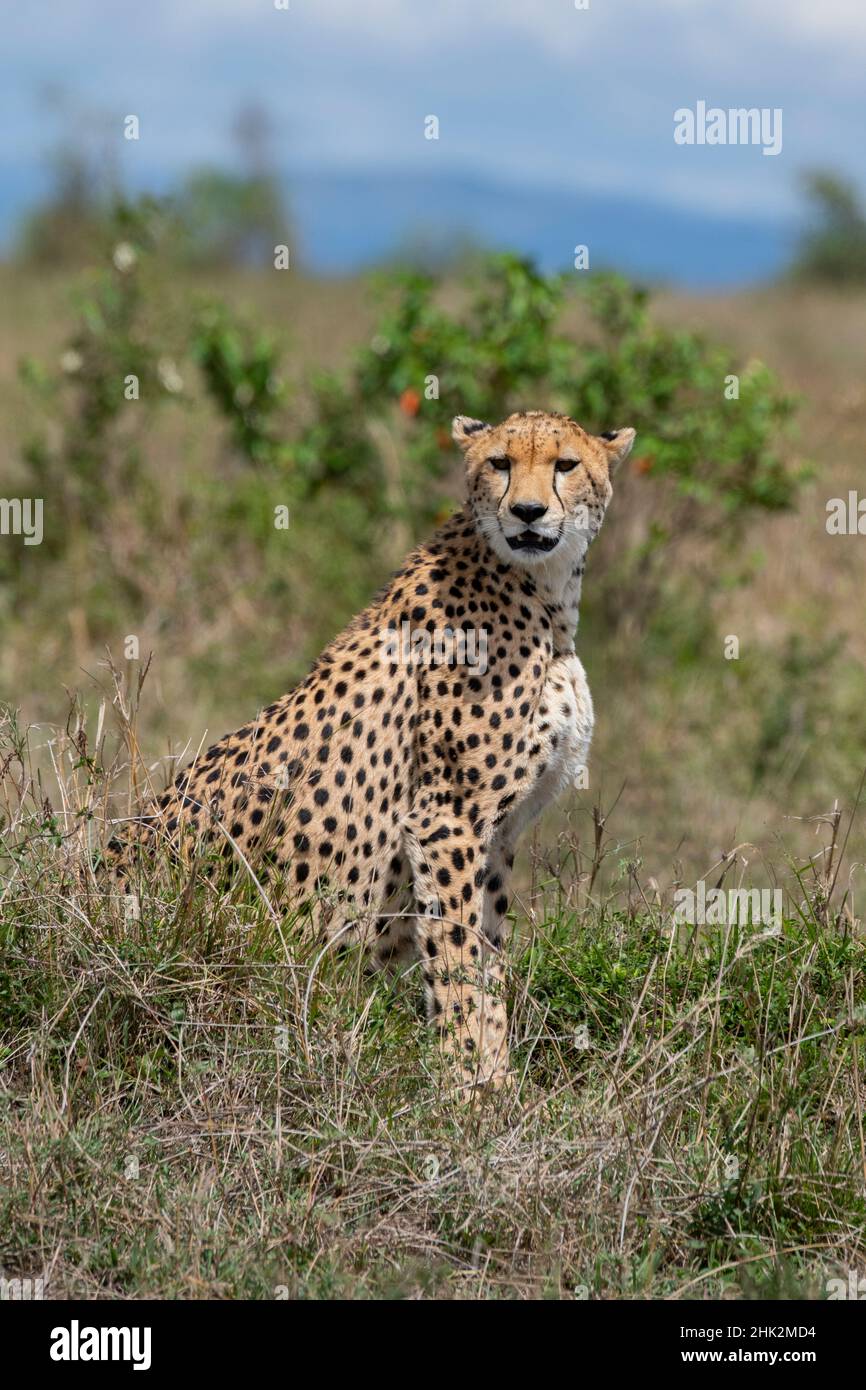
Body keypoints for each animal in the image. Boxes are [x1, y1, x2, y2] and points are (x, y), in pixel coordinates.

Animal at [108, 410, 635, 1092]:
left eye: (566, 465)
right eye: (500, 463)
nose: (526, 511)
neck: (543, 593)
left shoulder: (496, 834)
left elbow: (487, 956)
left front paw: (499, 1086)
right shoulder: (446, 819)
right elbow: (457, 960)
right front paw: (464, 1088)